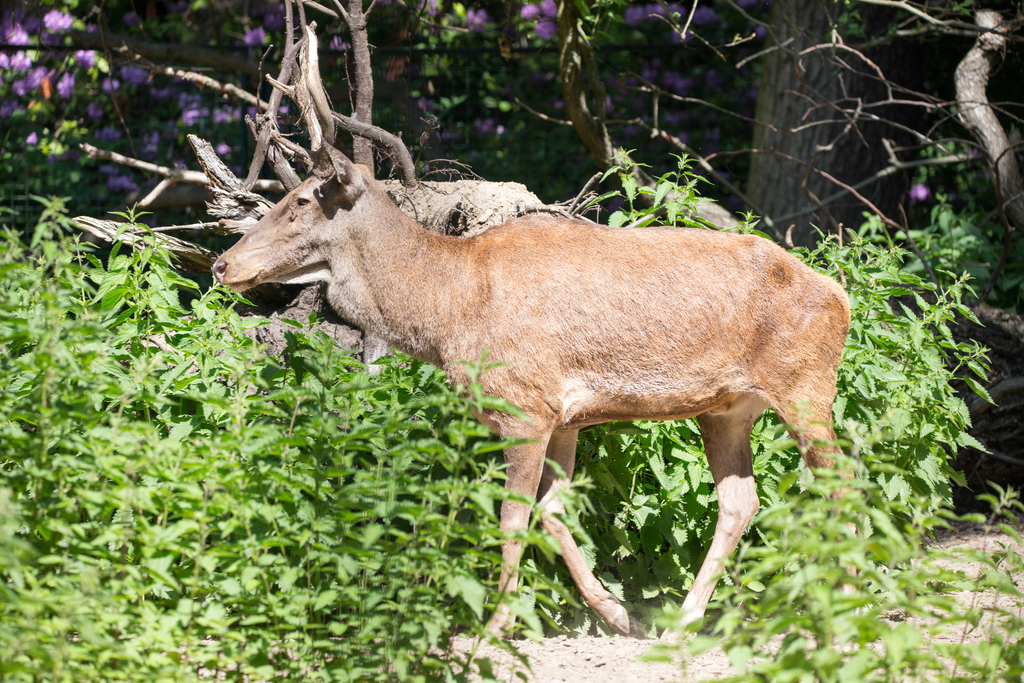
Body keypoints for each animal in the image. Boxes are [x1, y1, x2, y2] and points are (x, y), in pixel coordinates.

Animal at [211, 141, 851, 638]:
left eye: (301, 201)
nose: (222, 265)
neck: (445, 314)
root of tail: (842, 296)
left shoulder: (525, 408)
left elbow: (513, 517)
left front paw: (496, 623)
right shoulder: (563, 418)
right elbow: (553, 511)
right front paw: (617, 613)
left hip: (806, 388)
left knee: (841, 482)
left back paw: (849, 606)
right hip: (727, 410)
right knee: (741, 499)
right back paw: (683, 621)